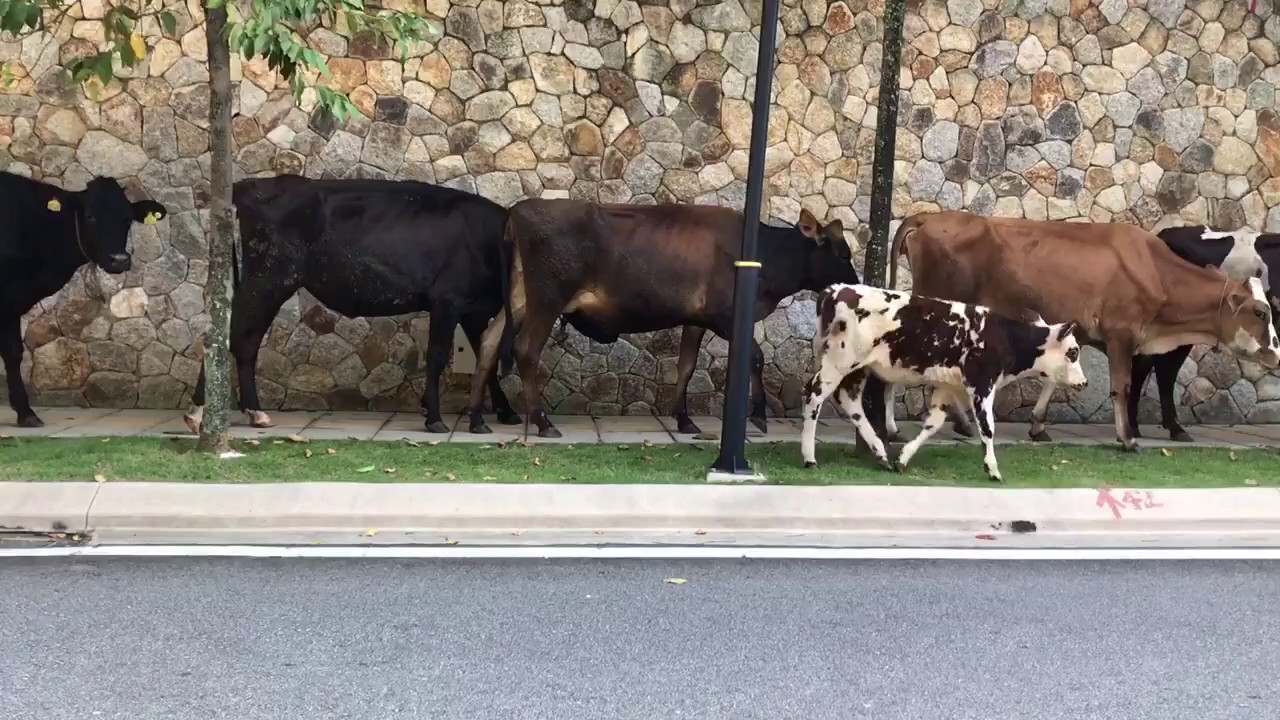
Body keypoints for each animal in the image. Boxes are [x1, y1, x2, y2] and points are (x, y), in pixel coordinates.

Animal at [0, 172, 167, 427]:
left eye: (127, 218)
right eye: (90, 216)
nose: (119, 260)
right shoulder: (7, 301)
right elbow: (12, 352)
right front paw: (26, 412)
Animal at [182, 175, 521, 435]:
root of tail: (247, 185)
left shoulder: (473, 311)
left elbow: (486, 359)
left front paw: (505, 412)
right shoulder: (447, 301)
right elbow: (437, 357)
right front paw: (435, 419)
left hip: (266, 282)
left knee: (242, 339)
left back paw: (252, 412)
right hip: (268, 279)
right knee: (229, 335)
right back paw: (201, 413)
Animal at [464, 200, 860, 439]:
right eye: (842, 253)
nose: (855, 286)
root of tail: (519, 209)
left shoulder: (696, 319)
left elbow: (686, 365)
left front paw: (683, 419)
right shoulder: (726, 315)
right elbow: (756, 357)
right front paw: (759, 415)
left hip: (519, 298)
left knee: (488, 342)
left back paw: (476, 418)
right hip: (547, 299)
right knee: (525, 350)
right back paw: (542, 421)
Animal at [800, 284, 1087, 481]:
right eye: (1073, 352)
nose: (1084, 383)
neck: (1004, 337)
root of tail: (835, 290)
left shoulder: (948, 386)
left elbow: (934, 424)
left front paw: (903, 458)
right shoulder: (982, 385)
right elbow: (987, 428)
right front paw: (993, 470)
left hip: (858, 368)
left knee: (849, 401)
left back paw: (881, 454)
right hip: (840, 361)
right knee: (814, 394)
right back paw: (809, 457)